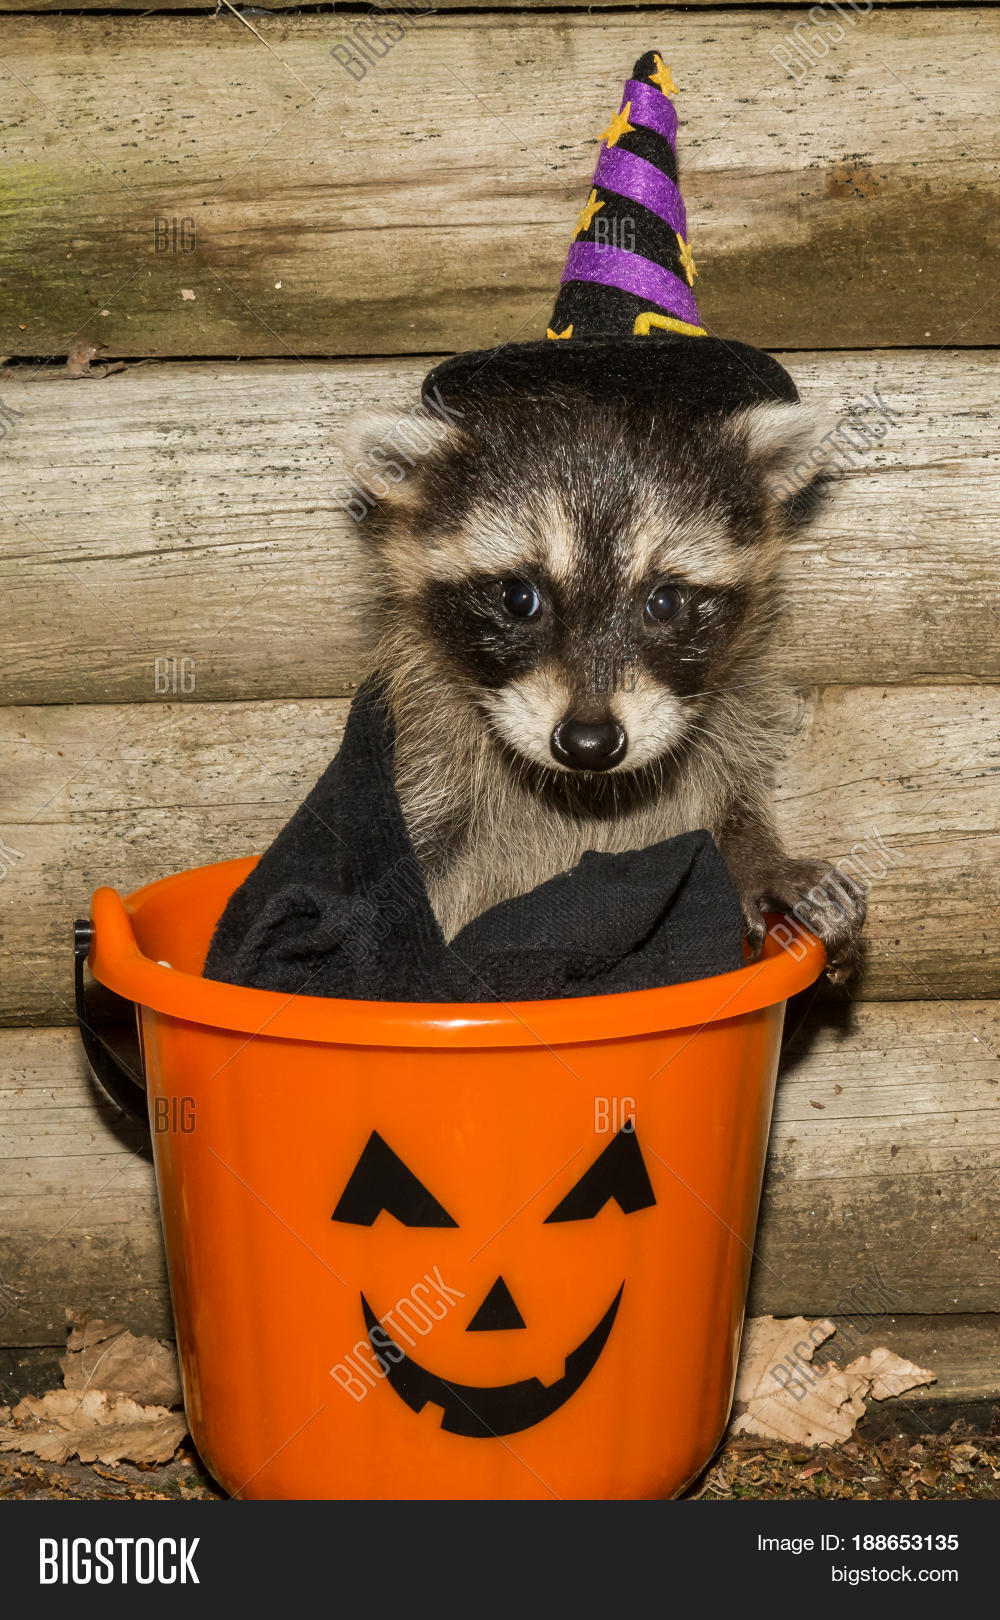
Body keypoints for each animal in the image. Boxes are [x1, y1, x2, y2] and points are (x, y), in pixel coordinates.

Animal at [344, 390, 866, 982]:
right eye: (518, 597)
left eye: (665, 601)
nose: (589, 743)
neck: (589, 795)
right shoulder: (427, 756)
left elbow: (728, 788)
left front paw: (751, 852)